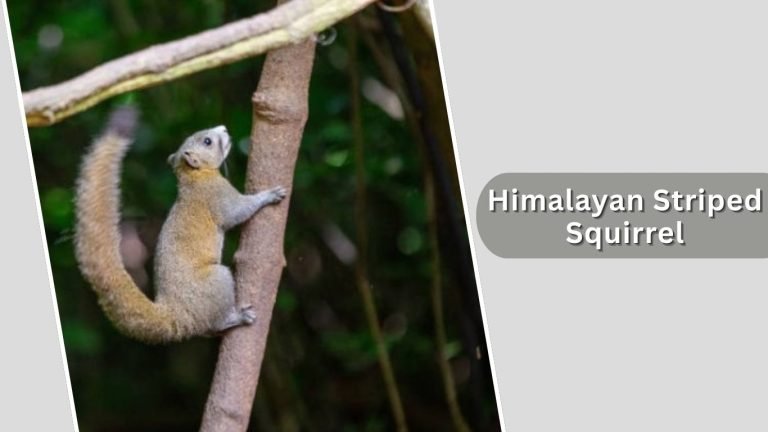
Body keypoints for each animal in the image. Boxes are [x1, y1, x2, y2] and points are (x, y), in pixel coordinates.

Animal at [74, 106, 287, 343]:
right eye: (207, 141)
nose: (223, 128)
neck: (194, 176)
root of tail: (177, 316)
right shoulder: (219, 197)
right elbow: (239, 211)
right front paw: (269, 195)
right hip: (218, 278)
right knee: (215, 323)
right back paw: (237, 317)